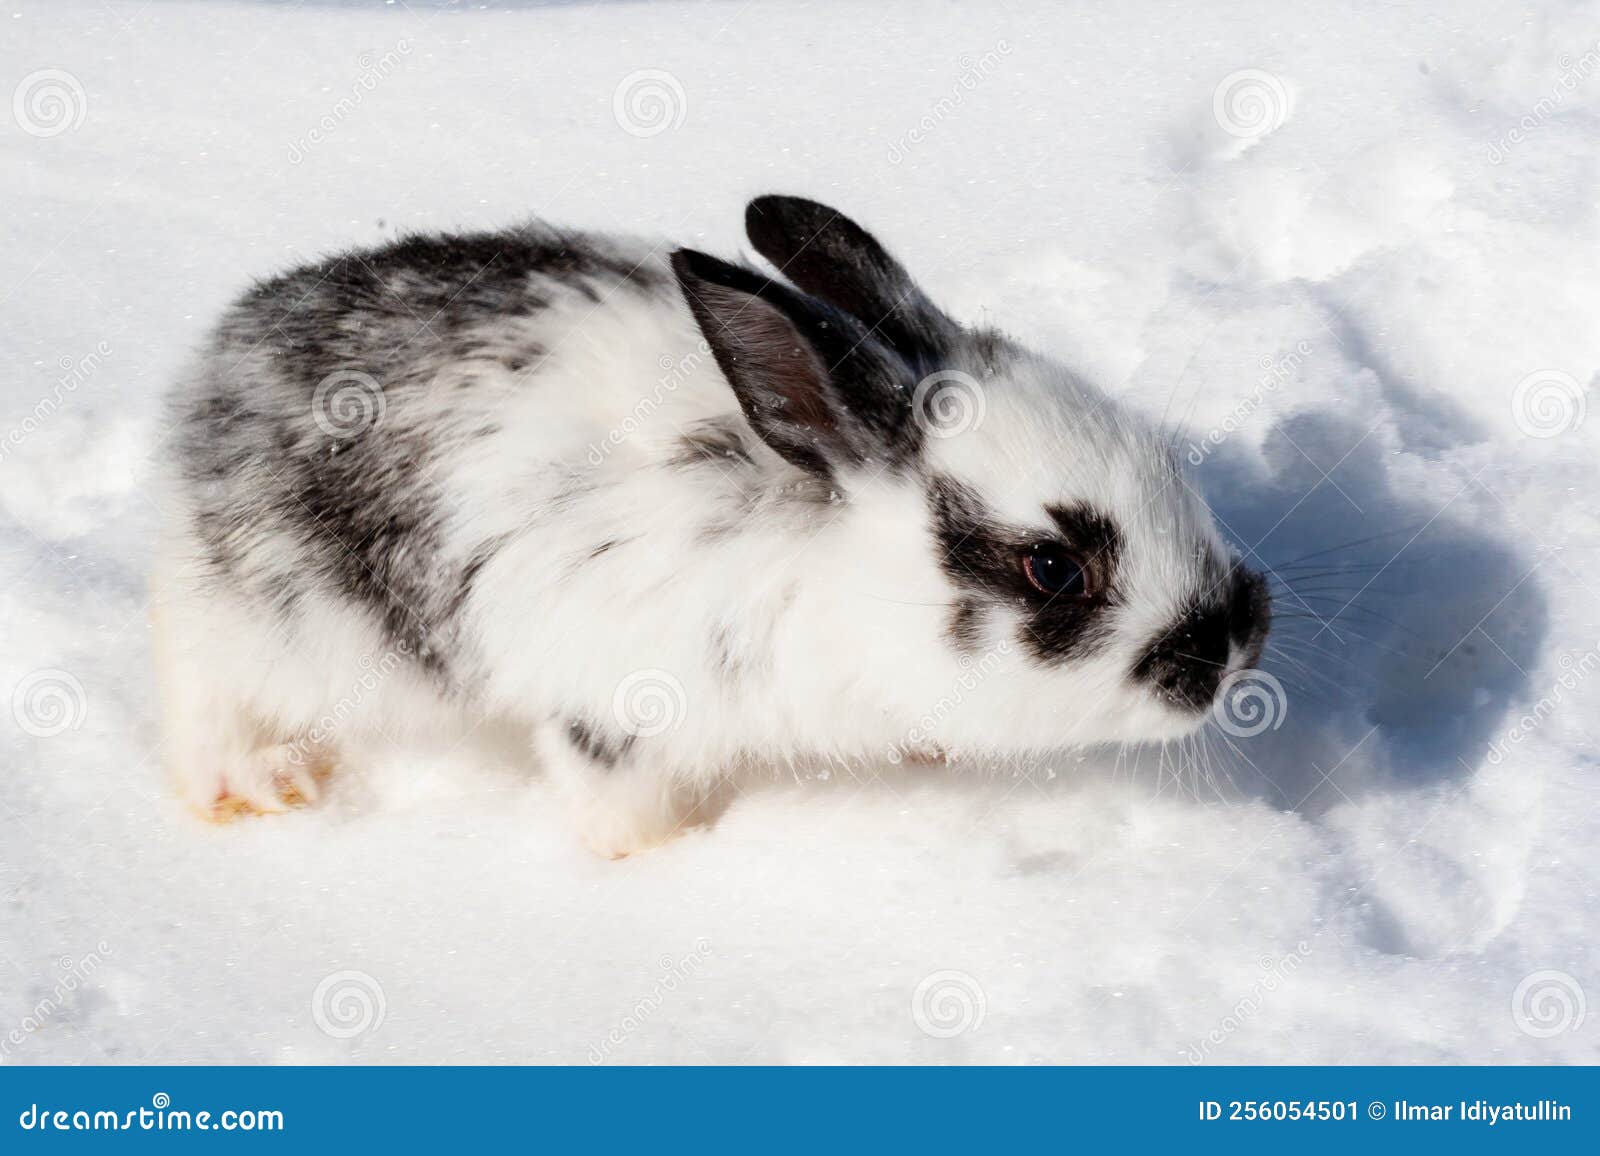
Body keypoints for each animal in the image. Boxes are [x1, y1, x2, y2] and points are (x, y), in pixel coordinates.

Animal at [151, 194, 1270, 857]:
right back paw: (256, 789)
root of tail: (219, 361)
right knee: (204, 683)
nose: (1234, 644)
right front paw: (667, 858)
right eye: (1052, 569)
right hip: (278, 618)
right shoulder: (610, 704)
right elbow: (621, 804)